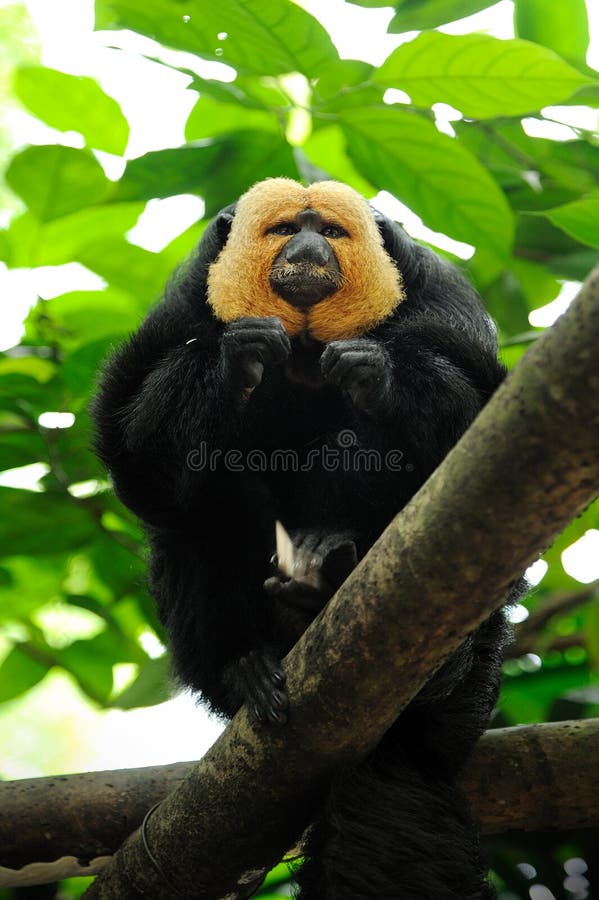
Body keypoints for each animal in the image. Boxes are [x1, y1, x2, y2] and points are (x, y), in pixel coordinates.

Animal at [92, 178, 517, 898]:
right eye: (288, 228)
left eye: (332, 232)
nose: (310, 250)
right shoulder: (182, 306)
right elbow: (141, 466)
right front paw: (236, 359)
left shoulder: (444, 304)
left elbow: (475, 425)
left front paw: (373, 371)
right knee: (202, 515)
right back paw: (249, 663)